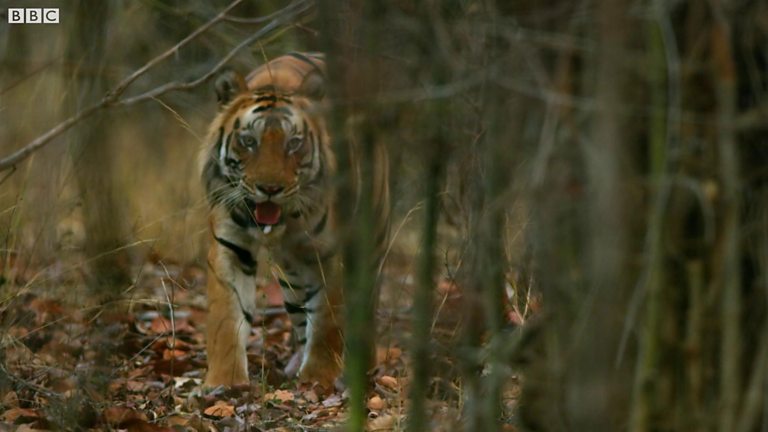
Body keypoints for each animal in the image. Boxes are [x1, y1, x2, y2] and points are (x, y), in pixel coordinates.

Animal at [199, 52, 389, 389]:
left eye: (293, 143)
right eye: (249, 141)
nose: (270, 189)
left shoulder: (330, 255)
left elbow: (328, 320)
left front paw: (318, 377)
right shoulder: (230, 247)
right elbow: (225, 318)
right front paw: (225, 382)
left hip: (372, 241)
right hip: (292, 277)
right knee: (301, 317)